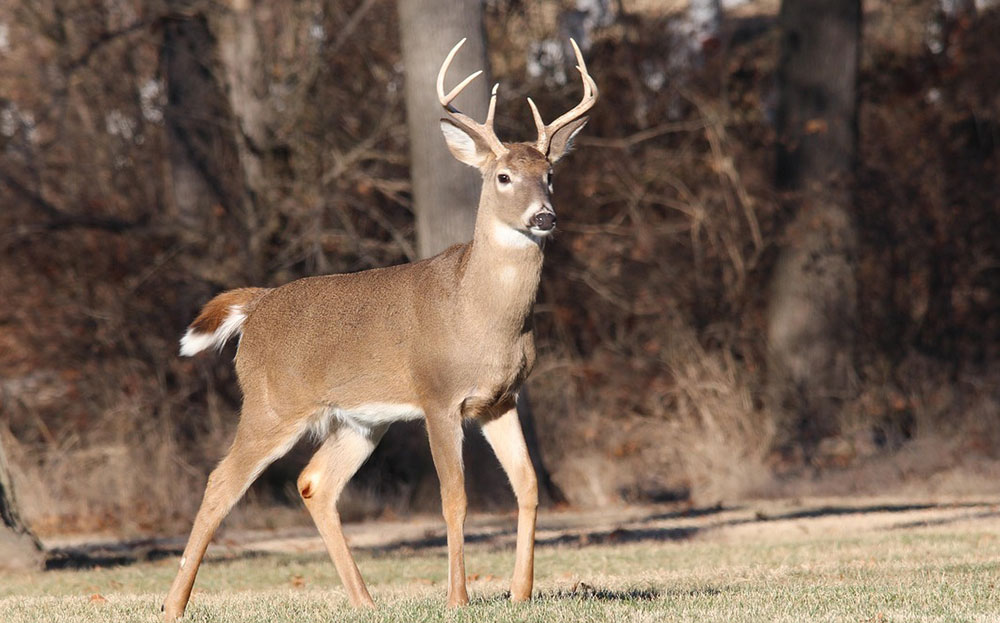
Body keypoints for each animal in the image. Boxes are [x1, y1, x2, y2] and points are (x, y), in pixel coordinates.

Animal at [162, 38, 597, 621]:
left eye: (550, 174)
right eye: (502, 176)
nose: (544, 216)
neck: (484, 317)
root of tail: (256, 307)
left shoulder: (501, 399)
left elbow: (527, 485)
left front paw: (520, 592)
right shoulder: (438, 396)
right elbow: (454, 498)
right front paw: (458, 598)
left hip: (360, 420)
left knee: (314, 482)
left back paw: (364, 600)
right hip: (271, 404)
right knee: (220, 482)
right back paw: (173, 605)